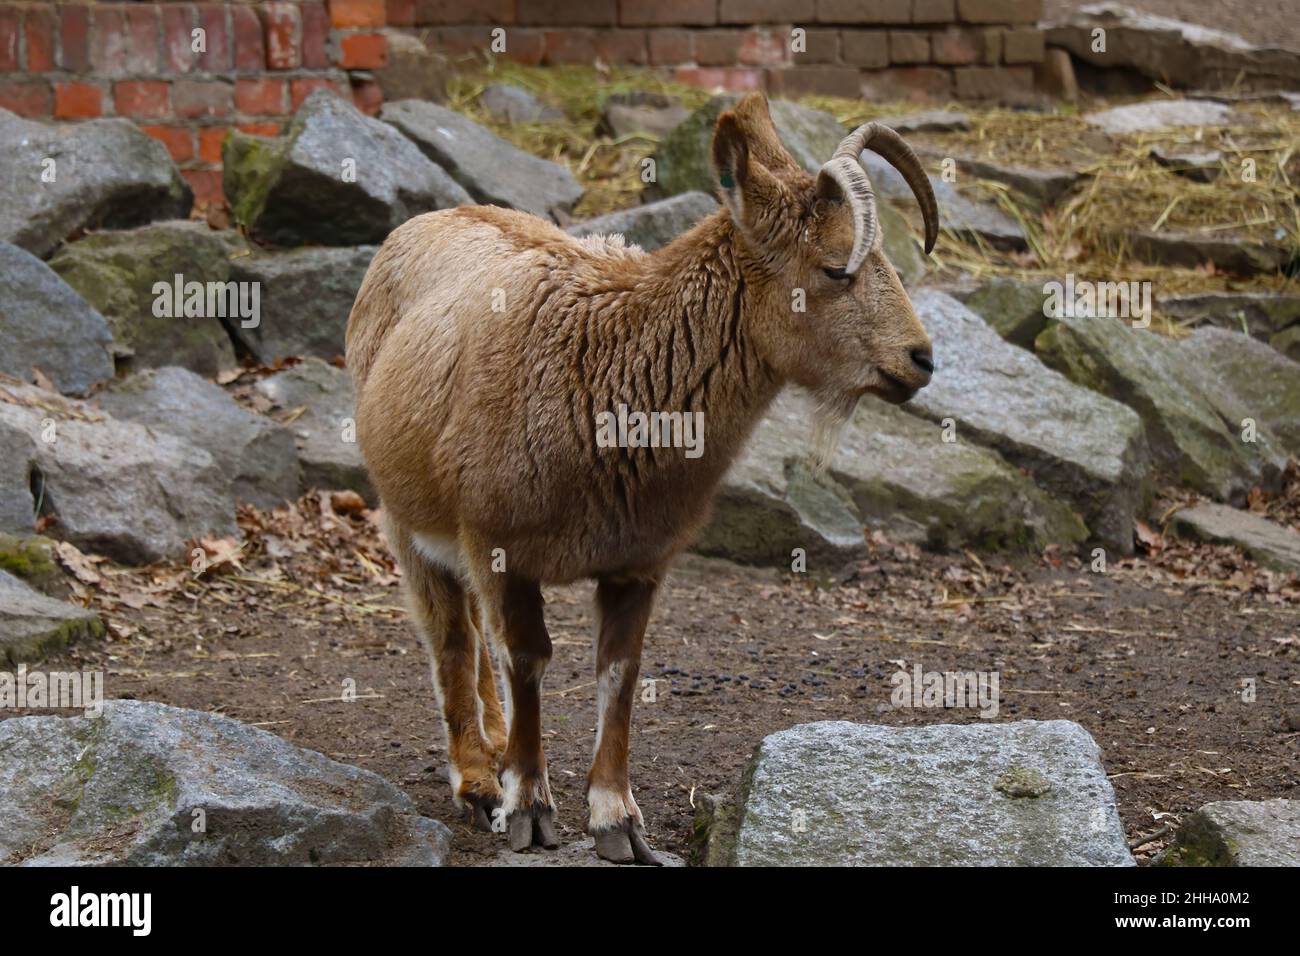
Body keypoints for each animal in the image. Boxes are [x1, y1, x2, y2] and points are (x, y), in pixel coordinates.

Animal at [345, 93, 939, 864]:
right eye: (837, 267)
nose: (920, 359)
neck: (607, 373)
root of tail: (415, 227)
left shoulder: (639, 561)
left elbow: (618, 672)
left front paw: (616, 821)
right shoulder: (501, 546)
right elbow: (528, 657)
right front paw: (530, 809)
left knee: (471, 631)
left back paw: (497, 749)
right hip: (405, 516)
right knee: (451, 635)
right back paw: (477, 779)